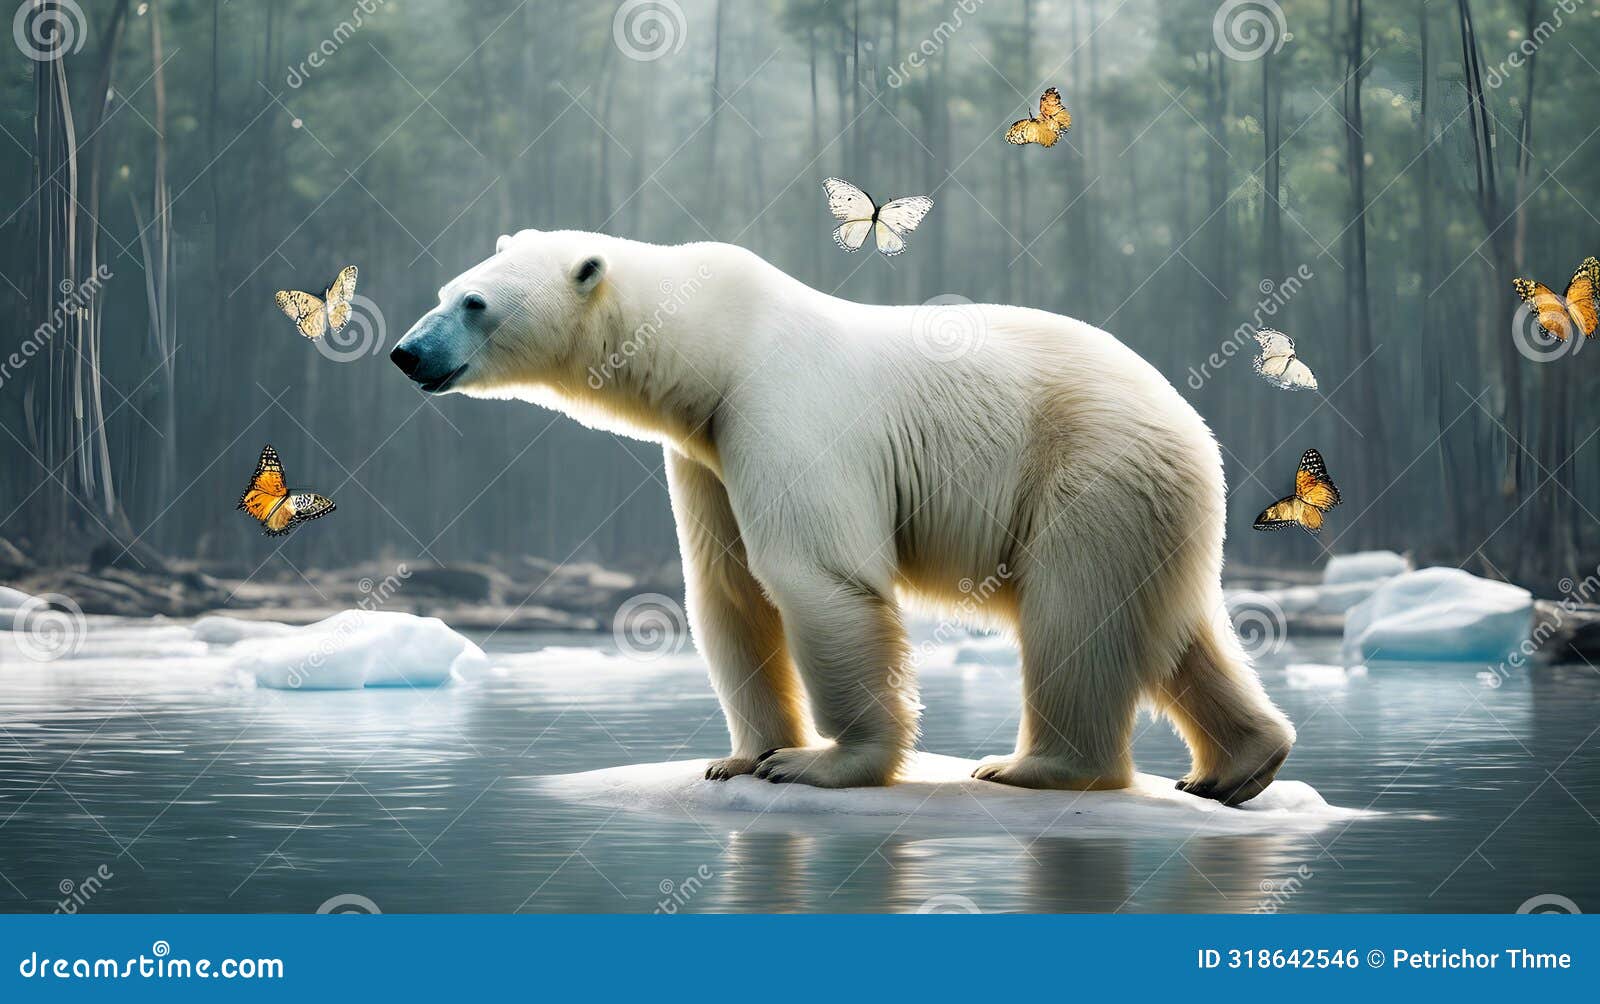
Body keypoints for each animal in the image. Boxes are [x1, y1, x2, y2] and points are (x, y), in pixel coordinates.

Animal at [391, 229, 1296, 805]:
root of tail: (1195, 427)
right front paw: (739, 757)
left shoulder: (779, 407)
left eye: (474, 304)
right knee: (1173, 628)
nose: (406, 352)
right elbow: (726, 590)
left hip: (1086, 471)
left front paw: (823, 763)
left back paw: (1031, 767)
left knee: (1075, 617)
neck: (715, 343)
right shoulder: (706, 448)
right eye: (444, 292)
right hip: (1149, 500)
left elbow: (813, 576)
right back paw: (1238, 765)